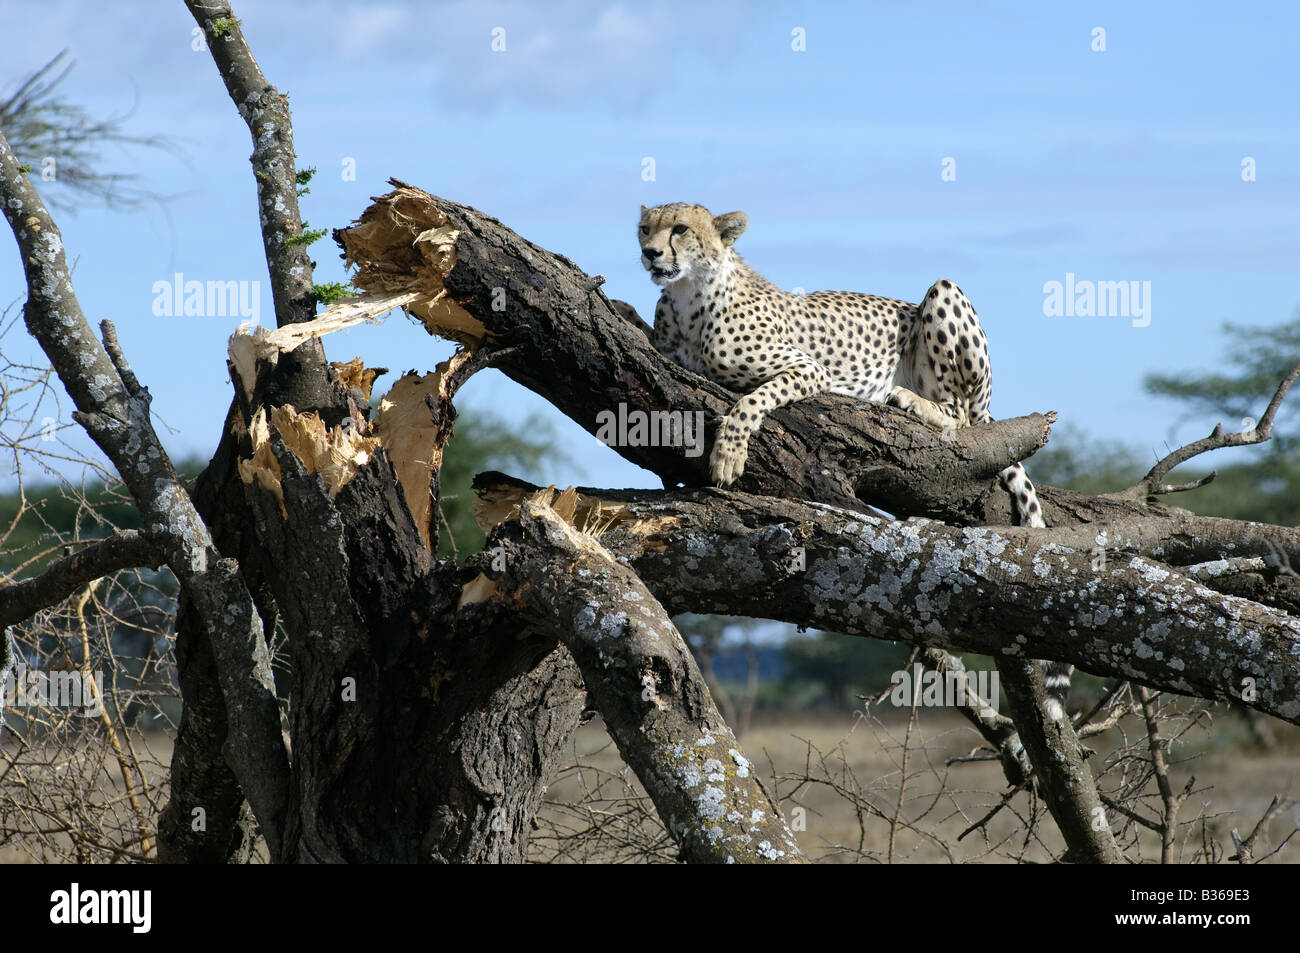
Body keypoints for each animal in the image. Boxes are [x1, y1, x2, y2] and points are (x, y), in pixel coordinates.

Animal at [638, 202, 1071, 719]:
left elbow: (750, 401)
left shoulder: (808, 370)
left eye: (681, 229)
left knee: (961, 415)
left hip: (945, 299)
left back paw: (906, 399)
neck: (689, 299)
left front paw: (728, 455)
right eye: (645, 228)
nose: (649, 252)